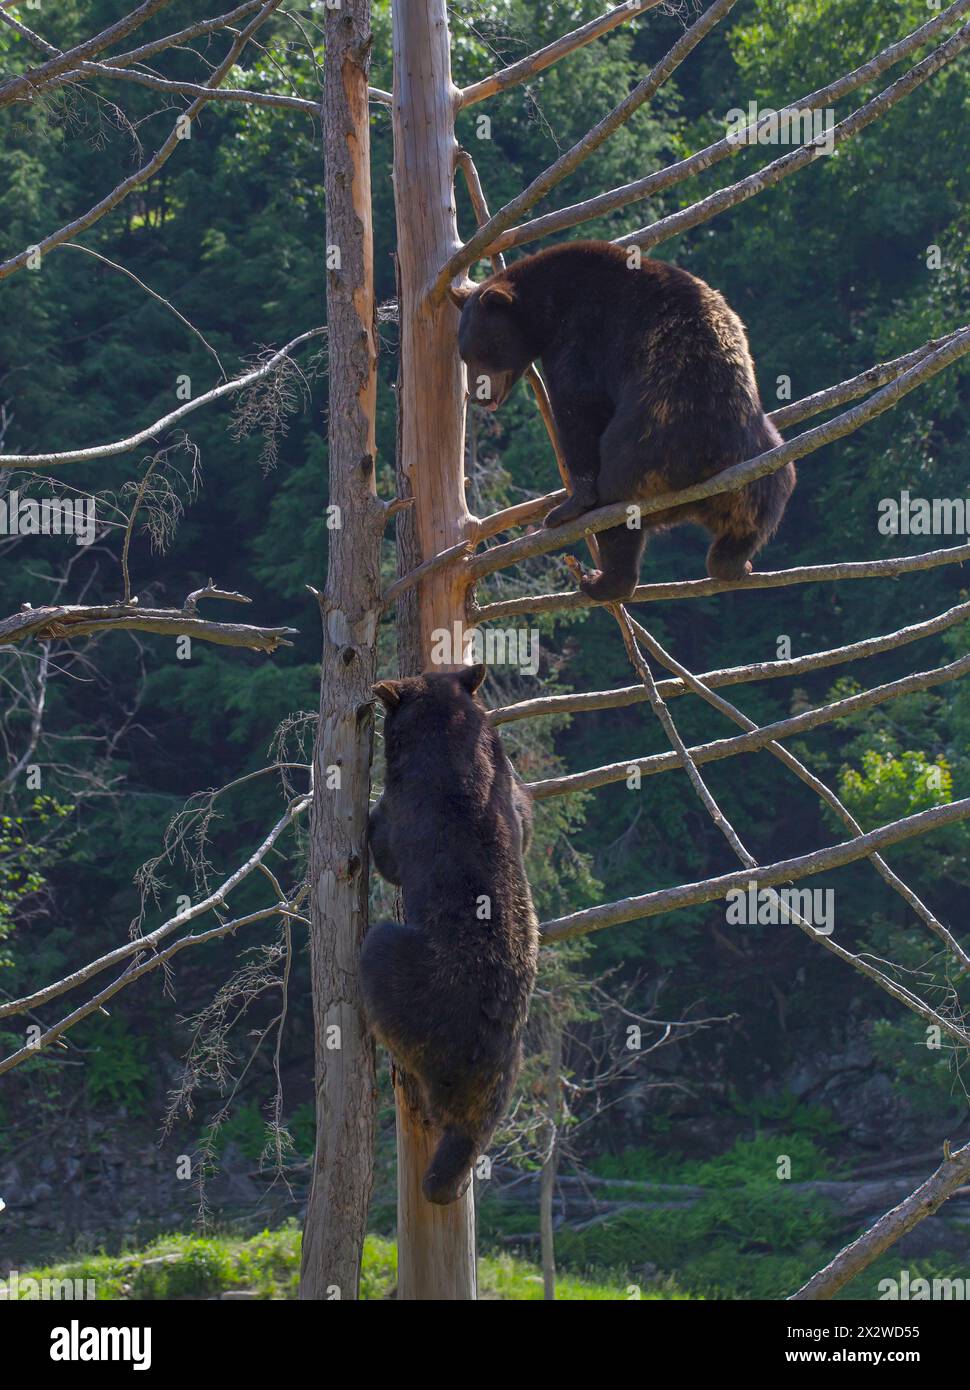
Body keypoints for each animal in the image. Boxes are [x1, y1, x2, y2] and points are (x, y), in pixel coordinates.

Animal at [360, 664, 539, 1206]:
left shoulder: (410, 813)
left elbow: (387, 849)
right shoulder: (508, 795)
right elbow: (524, 816)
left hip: (419, 991)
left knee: (379, 954)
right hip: (513, 1058)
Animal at [455, 239, 796, 601]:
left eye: (484, 350)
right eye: (465, 356)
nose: (478, 395)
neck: (547, 303)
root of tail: (705, 466)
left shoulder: (579, 335)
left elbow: (578, 407)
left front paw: (571, 501)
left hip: (641, 455)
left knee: (615, 515)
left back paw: (602, 577)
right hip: (755, 462)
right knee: (771, 495)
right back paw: (732, 563)